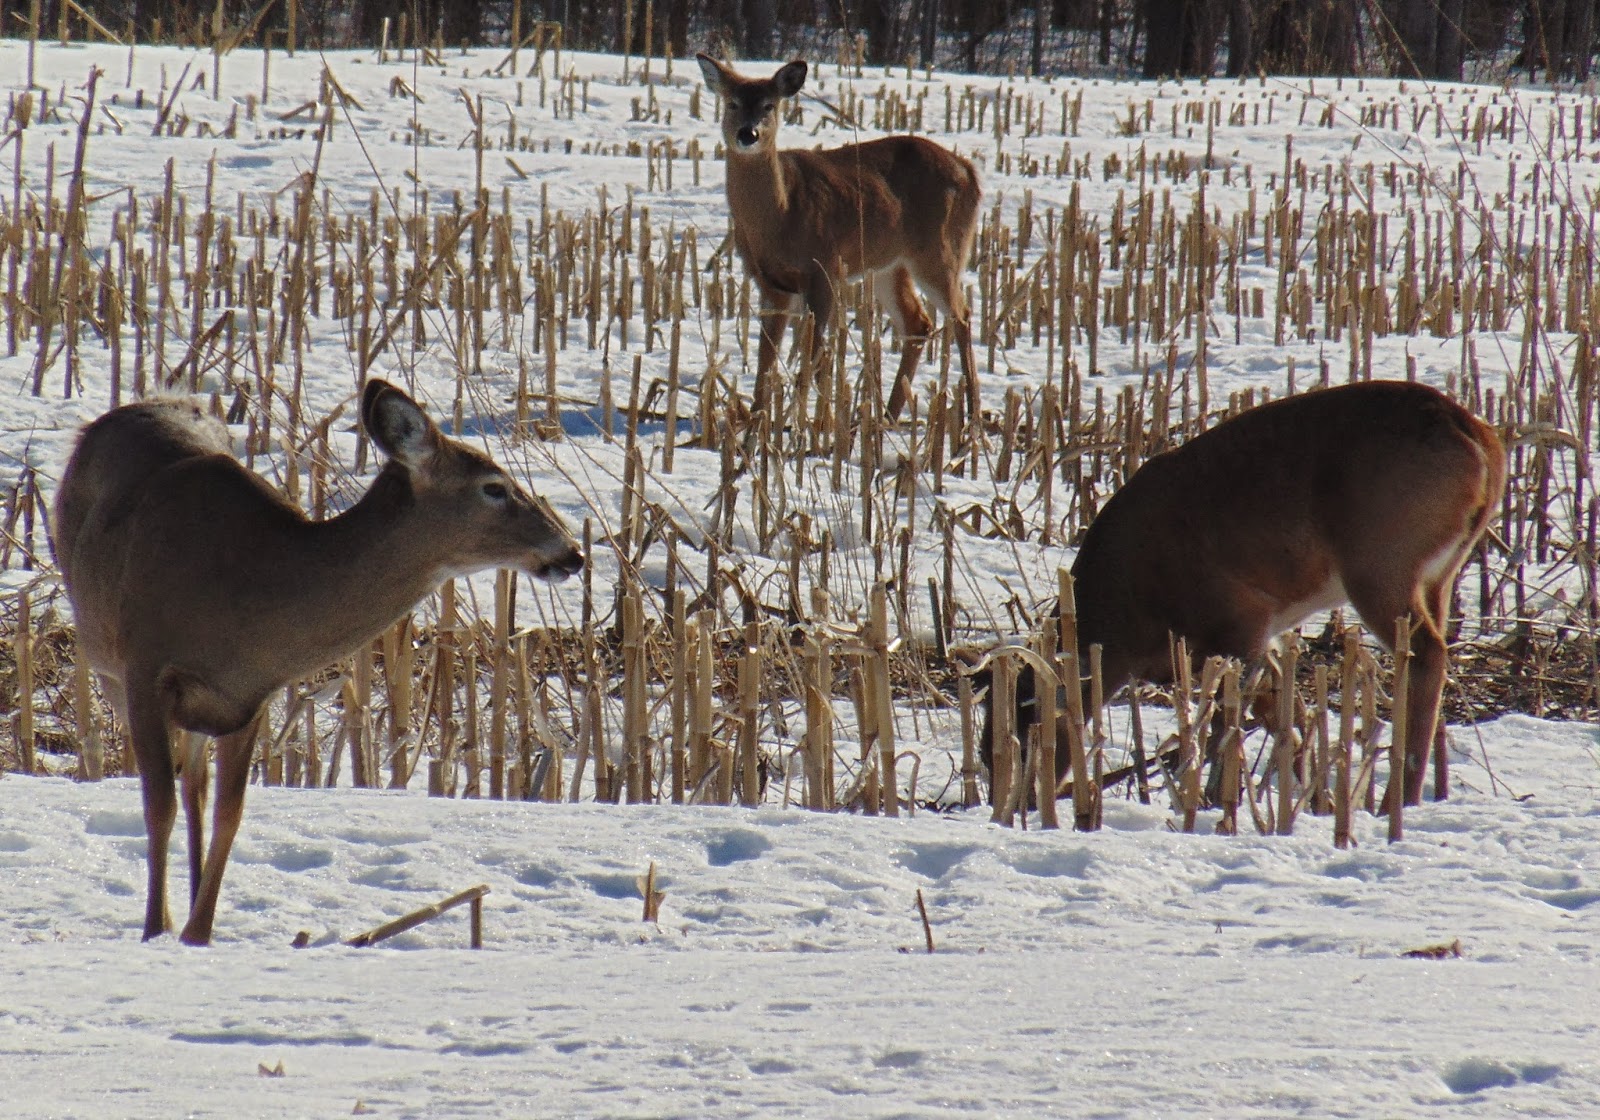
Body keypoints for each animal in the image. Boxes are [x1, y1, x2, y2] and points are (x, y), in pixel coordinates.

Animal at [53, 380, 583, 945]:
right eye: (494, 487)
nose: (572, 553)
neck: (242, 595)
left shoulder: (249, 698)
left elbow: (229, 813)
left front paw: (199, 932)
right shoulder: (144, 670)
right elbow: (158, 806)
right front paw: (157, 929)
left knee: (197, 785)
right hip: (104, 658)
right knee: (178, 790)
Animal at [696, 54, 981, 422]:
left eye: (769, 105)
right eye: (731, 102)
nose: (748, 133)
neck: (781, 214)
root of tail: (968, 170)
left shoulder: (825, 268)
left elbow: (815, 357)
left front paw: (810, 424)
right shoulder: (769, 282)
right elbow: (765, 360)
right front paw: (756, 420)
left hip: (941, 250)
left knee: (961, 316)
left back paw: (972, 413)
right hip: (889, 265)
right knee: (918, 322)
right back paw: (887, 417)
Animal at [979, 380, 1506, 812]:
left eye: (1028, 730)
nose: (1022, 803)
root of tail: (1480, 437)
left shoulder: (1237, 621)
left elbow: (1224, 722)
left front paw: (1213, 799)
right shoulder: (1262, 636)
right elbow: (1287, 716)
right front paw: (1310, 798)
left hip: (1380, 564)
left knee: (1425, 653)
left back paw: (1401, 796)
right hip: (1438, 576)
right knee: (1439, 648)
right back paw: (1424, 790)